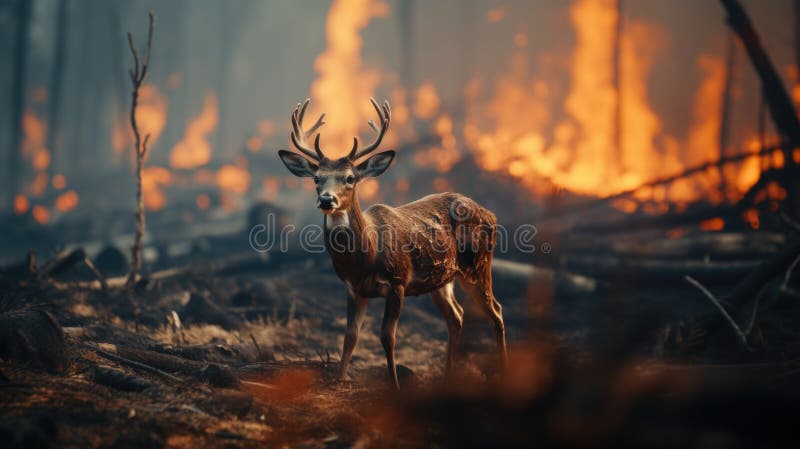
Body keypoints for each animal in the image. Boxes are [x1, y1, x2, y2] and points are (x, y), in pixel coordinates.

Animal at [278, 98, 507, 389]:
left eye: (350, 178)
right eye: (316, 178)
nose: (327, 199)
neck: (365, 257)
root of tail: (491, 214)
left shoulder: (398, 280)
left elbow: (387, 336)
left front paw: (395, 385)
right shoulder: (354, 288)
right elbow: (350, 336)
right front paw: (338, 380)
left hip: (478, 264)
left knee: (495, 311)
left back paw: (504, 371)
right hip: (441, 279)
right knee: (457, 316)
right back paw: (447, 376)